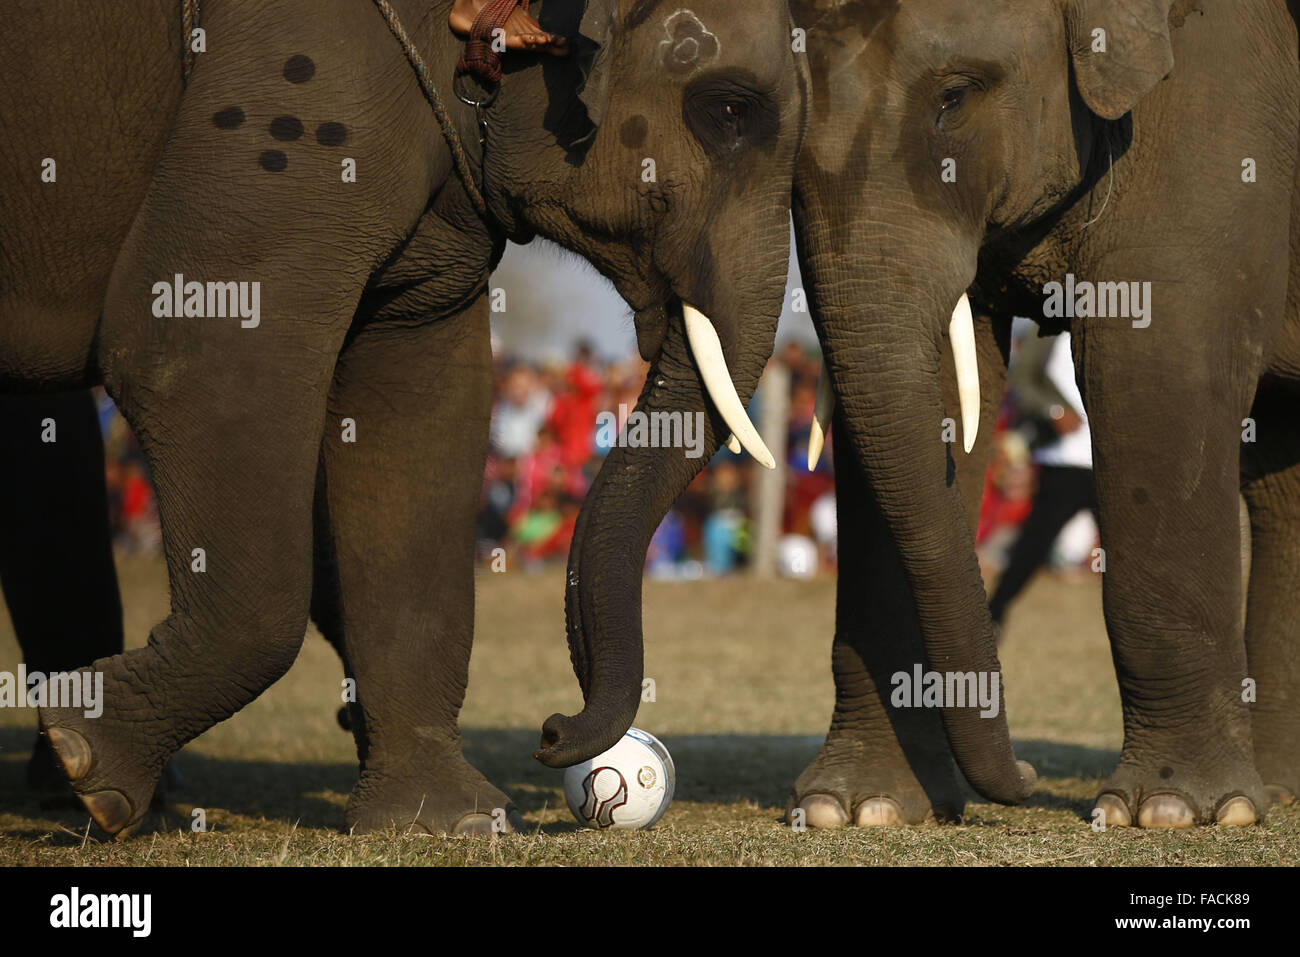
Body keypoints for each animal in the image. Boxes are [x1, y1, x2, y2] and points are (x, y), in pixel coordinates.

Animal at [0, 0, 806, 837]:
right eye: (730, 111)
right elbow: (193, 351)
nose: (554, 733)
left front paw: (442, 821)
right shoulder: (303, 101)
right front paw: (88, 760)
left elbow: (421, 403)